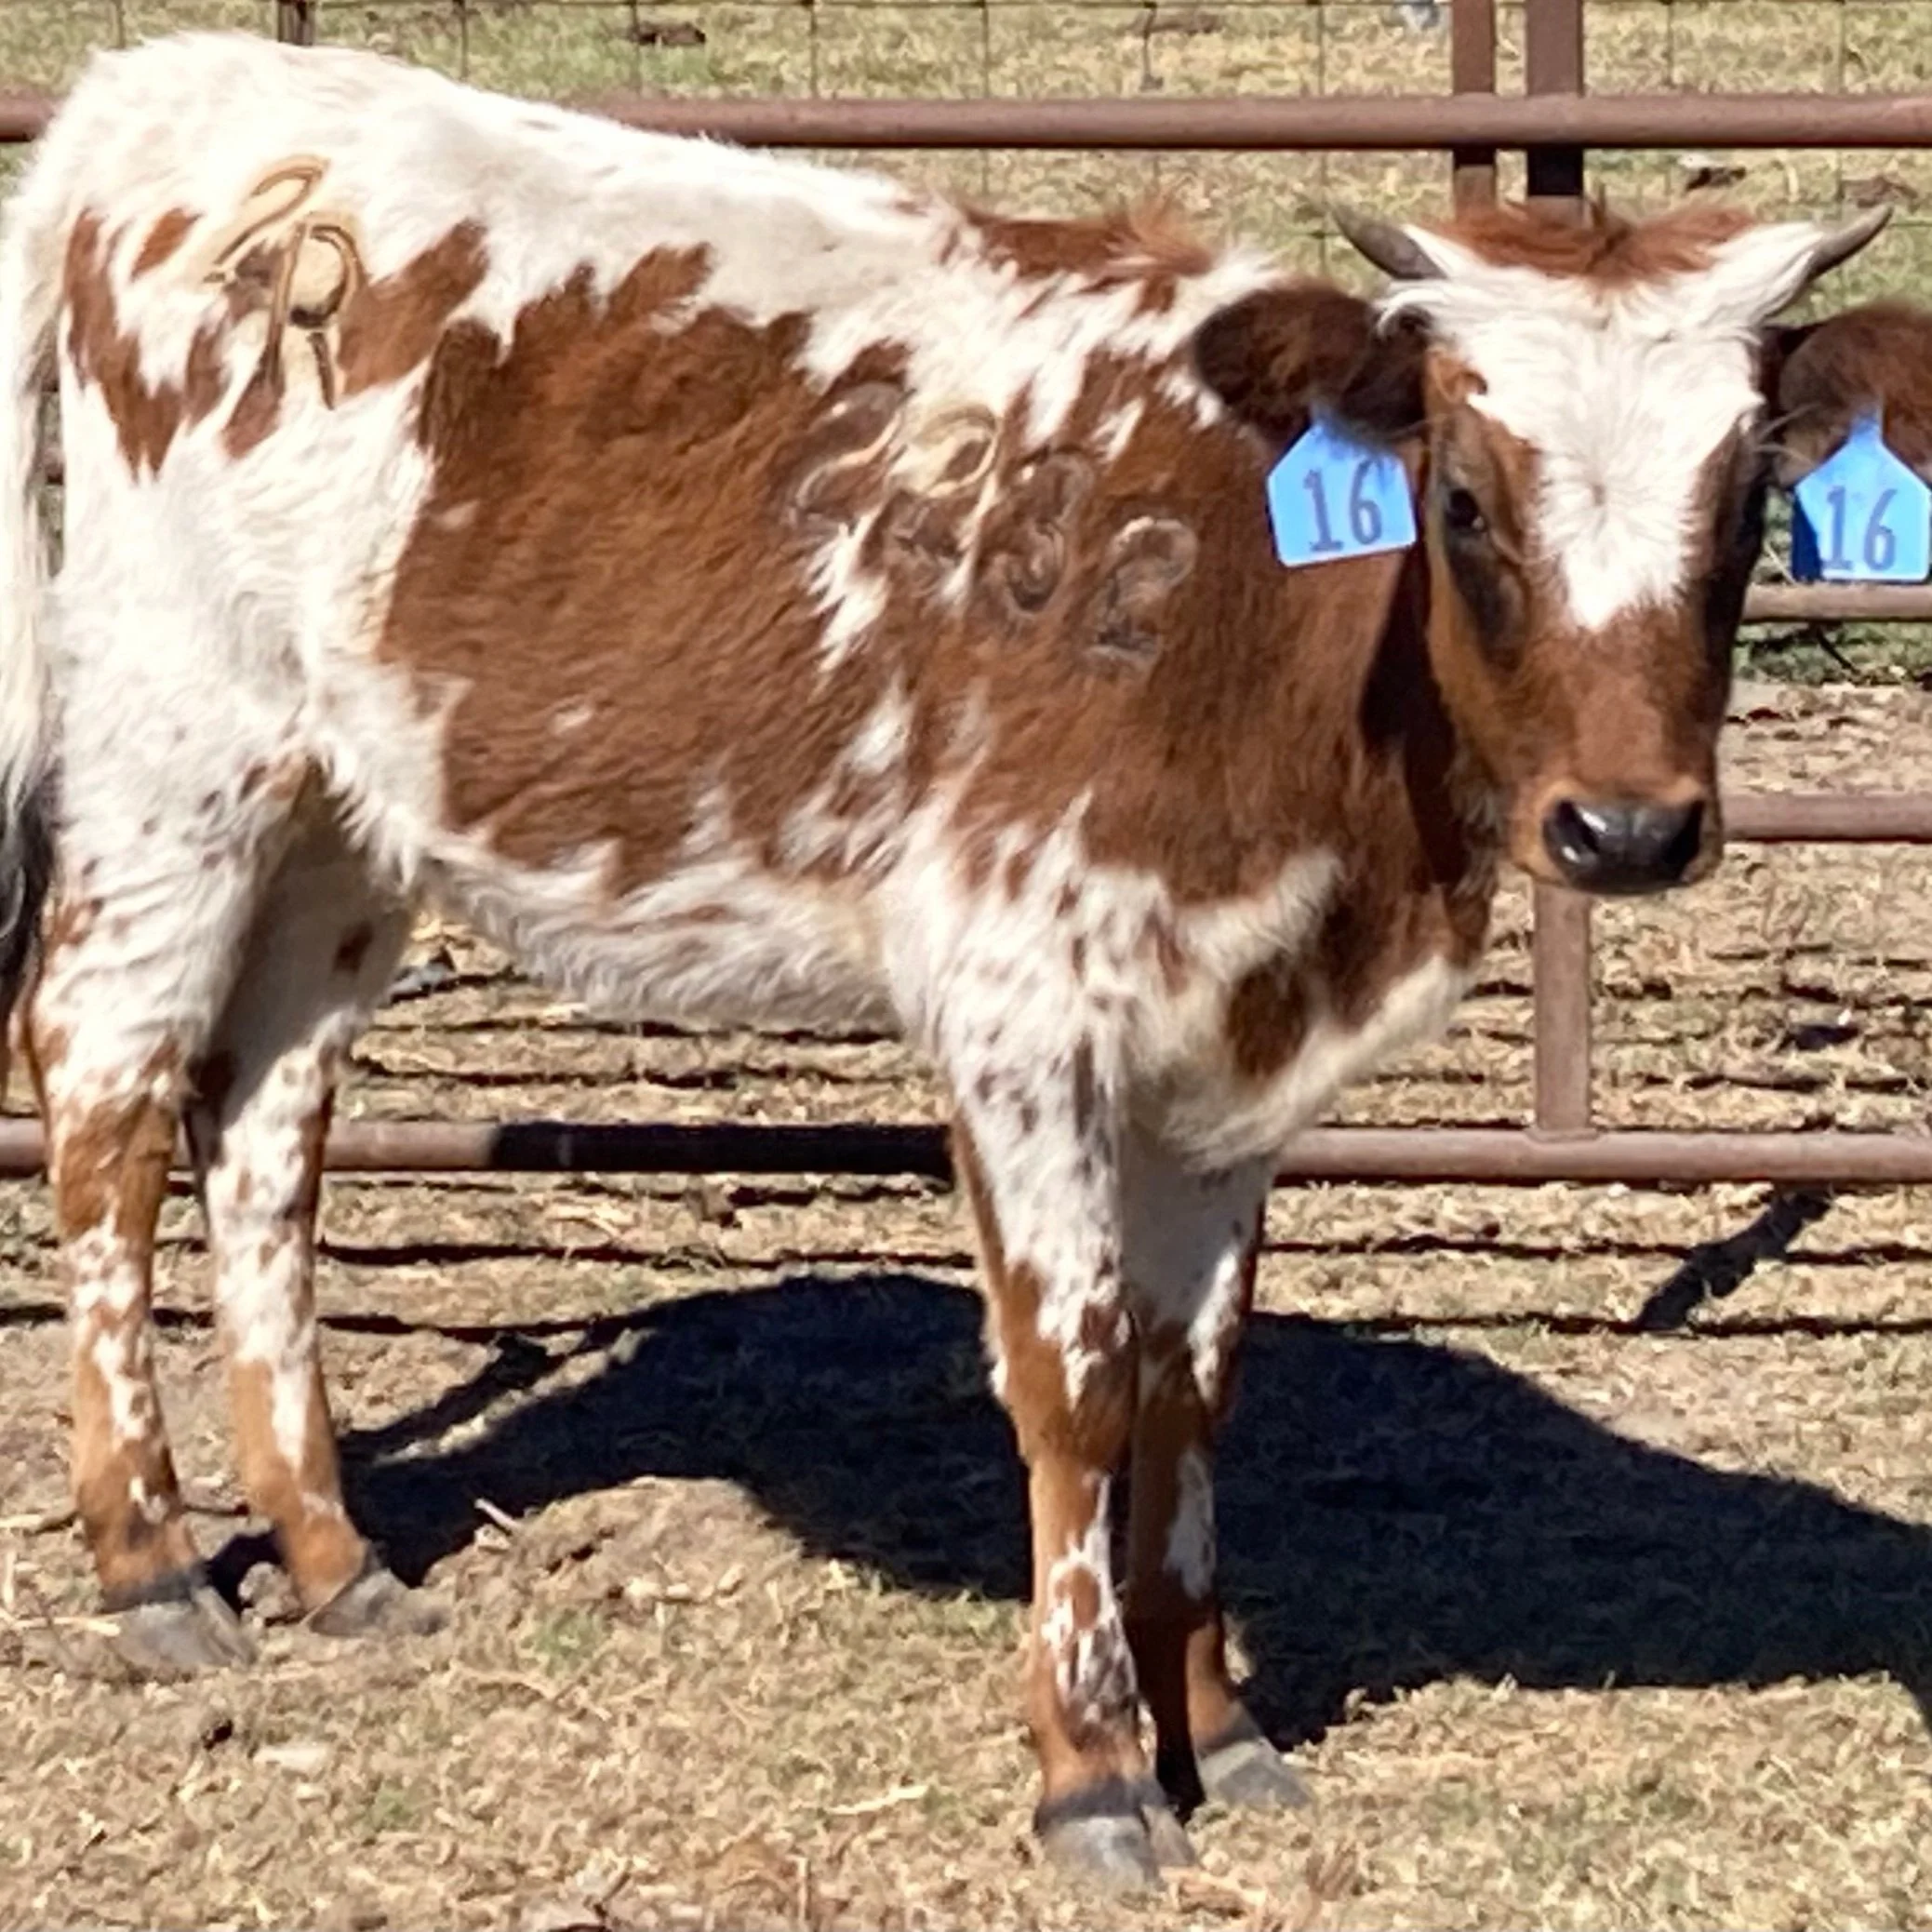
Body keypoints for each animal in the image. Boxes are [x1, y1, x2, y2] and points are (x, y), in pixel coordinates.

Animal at [0, 27, 1914, 1889]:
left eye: (1748, 498)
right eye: (1460, 493)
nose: (1627, 830)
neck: (1245, 618)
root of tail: (162, 94)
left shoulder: (1229, 1048)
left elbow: (1190, 1383)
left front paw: (1215, 1723)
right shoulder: (1023, 1008)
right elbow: (1076, 1382)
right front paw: (1094, 1772)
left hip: (343, 818)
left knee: (264, 1126)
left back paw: (330, 1554)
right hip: (177, 747)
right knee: (106, 1088)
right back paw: (149, 1558)